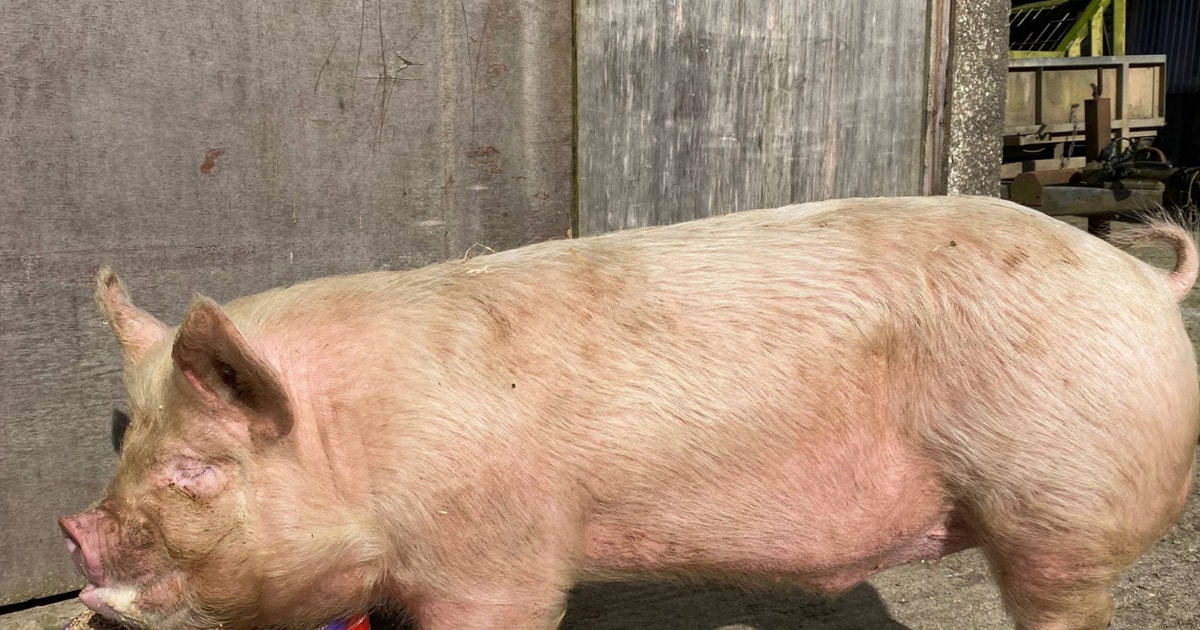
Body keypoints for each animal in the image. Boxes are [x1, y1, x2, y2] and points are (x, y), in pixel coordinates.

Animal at [61, 196, 1199, 630]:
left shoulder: (496, 561)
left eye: (196, 472)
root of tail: (1145, 284)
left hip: (1057, 505)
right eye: (134, 453)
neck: (364, 441)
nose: (75, 530)